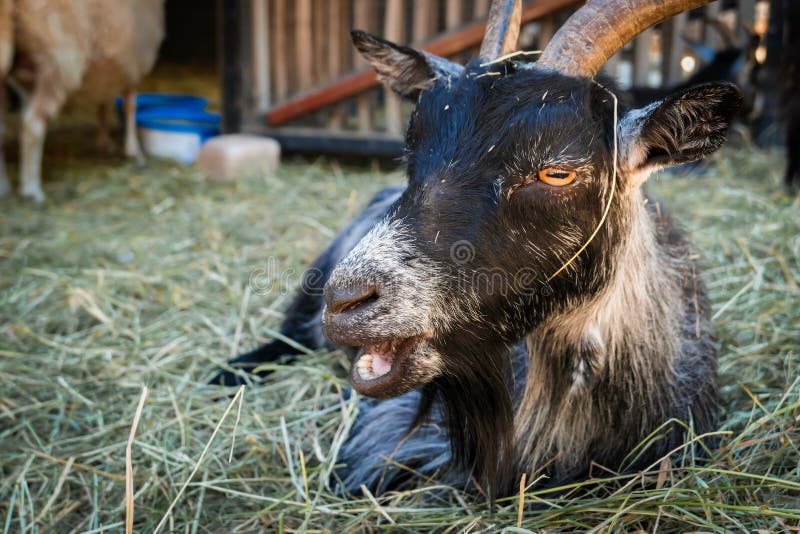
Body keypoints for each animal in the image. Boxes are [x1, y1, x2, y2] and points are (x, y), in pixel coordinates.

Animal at [0, 0, 165, 202]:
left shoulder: (110, 72)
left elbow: (102, 106)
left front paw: (105, 143)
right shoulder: (133, 68)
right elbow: (130, 107)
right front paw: (134, 152)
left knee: (3, 129)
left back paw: (4, 188)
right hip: (57, 61)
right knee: (33, 124)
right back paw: (32, 190)